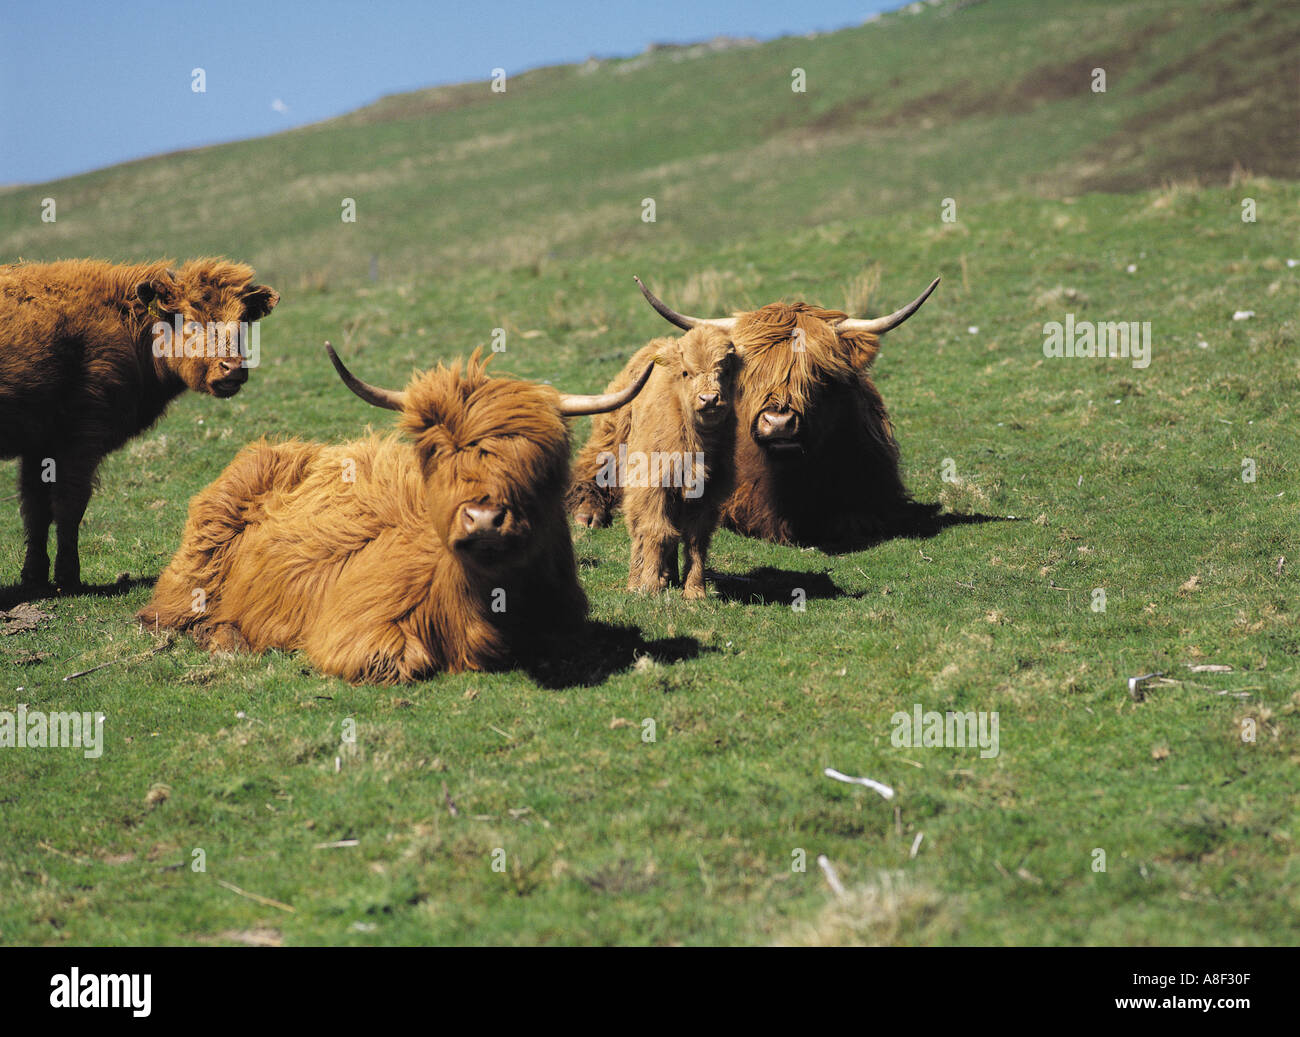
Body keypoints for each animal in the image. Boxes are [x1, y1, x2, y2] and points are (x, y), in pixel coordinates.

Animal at [0, 257, 279, 589]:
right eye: (190, 320)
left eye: (243, 321)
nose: (232, 369)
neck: (126, 322)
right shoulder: (80, 439)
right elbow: (69, 505)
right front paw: (69, 578)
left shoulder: (40, 444)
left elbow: (36, 508)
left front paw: (34, 576)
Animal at [136, 345, 654, 685]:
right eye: (438, 454)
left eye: (539, 459)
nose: (483, 519)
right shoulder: (354, 631)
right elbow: (406, 661)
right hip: (195, 571)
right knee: (171, 614)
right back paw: (225, 638)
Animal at [567, 275, 939, 550]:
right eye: (750, 375)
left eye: (818, 373)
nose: (779, 423)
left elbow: (855, 519)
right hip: (615, 430)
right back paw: (588, 514)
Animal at [602, 326, 737, 599]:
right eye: (686, 372)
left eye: (725, 370)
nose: (709, 399)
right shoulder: (655, 486)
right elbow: (656, 531)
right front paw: (650, 586)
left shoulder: (707, 494)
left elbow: (696, 539)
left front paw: (694, 591)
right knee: (639, 530)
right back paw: (637, 581)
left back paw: (671, 577)